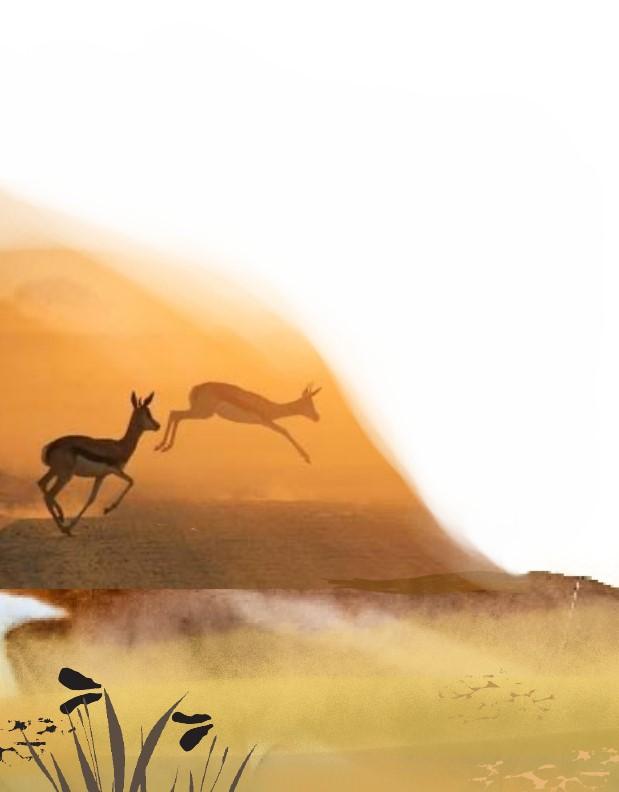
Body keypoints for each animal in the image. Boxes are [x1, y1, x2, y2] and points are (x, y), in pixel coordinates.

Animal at [38, 392, 160, 536]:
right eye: (147, 413)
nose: (158, 425)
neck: (120, 446)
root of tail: (51, 446)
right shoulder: (115, 470)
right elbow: (131, 481)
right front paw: (108, 509)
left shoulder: (100, 476)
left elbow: (91, 499)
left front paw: (71, 525)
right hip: (65, 476)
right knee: (49, 495)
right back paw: (63, 528)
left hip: (55, 471)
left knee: (42, 484)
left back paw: (62, 519)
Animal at [154, 382, 322, 462]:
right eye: (309, 403)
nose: (317, 417)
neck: (269, 406)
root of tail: (197, 387)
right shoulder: (266, 422)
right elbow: (284, 431)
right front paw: (307, 458)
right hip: (202, 413)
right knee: (176, 415)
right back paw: (163, 446)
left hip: (200, 412)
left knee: (174, 414)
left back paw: (162, 447)